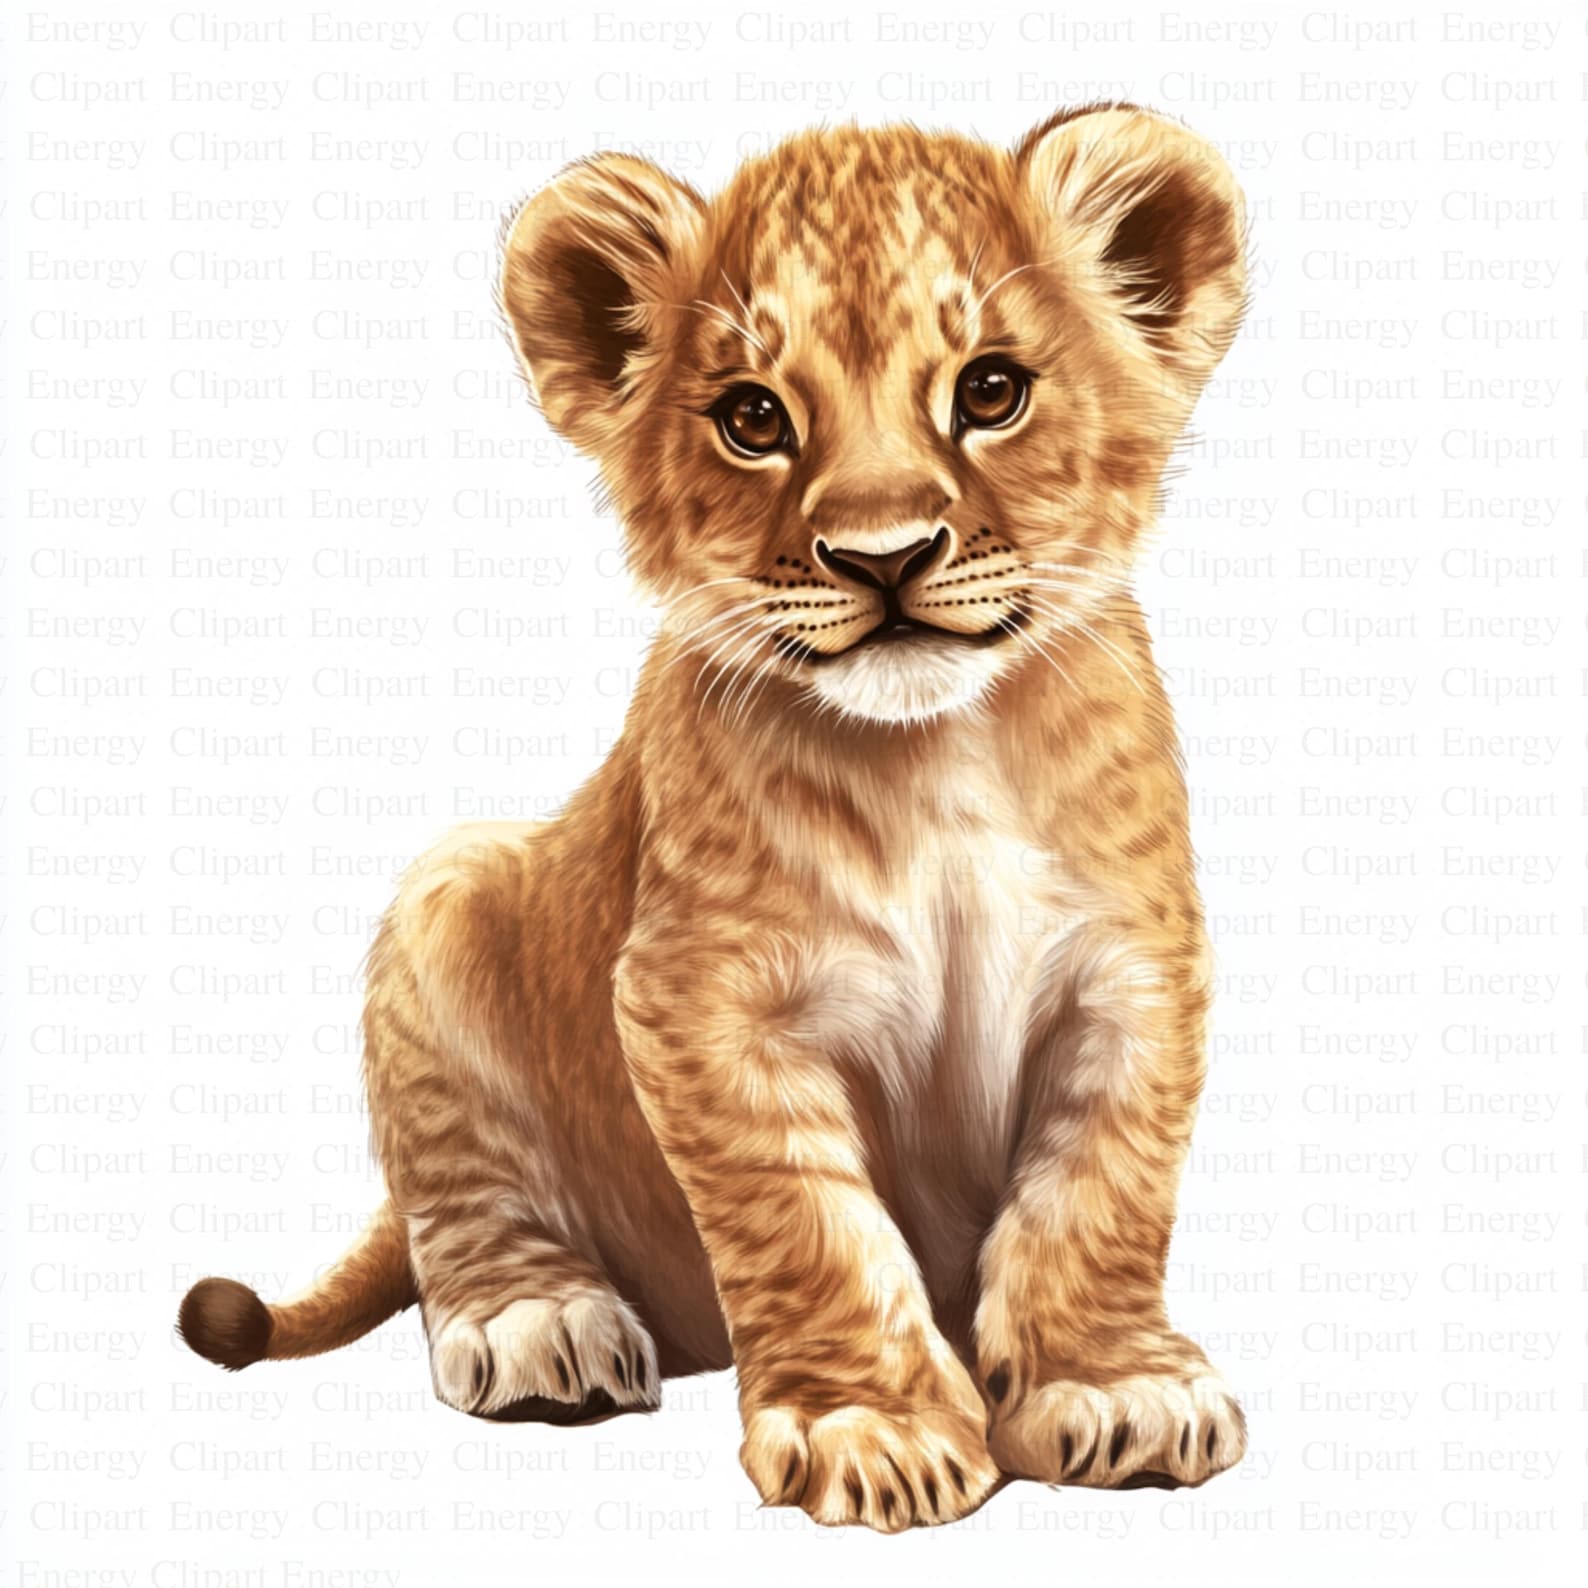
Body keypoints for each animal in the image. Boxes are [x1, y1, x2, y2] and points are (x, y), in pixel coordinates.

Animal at [178, 106, 1250, 1531]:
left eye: (989, 391)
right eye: (753, 418)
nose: (883, 556)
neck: (938, 758)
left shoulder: (1130, 977)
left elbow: (1099, 1188)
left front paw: (1113, 1385)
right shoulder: (702, 1001)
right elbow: (809, 1223)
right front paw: (872, 1423)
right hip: (443, 897)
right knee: (457, 1198)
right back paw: (540, 1324)